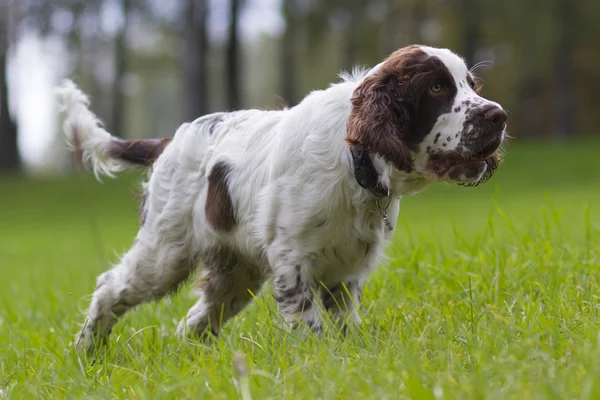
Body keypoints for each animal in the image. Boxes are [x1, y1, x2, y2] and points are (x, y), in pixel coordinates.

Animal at [55, 43, 506, 352]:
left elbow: (345, 326)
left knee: (194, 320)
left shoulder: (347, 272)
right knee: (110, 286)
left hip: (236, 274)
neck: (354, 162)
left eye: (471, 85)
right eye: (436, 88)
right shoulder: (292, 263)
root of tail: (169, 142)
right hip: (165, 252)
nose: (499, 116)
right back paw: (86, 351)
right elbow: (309, 328)